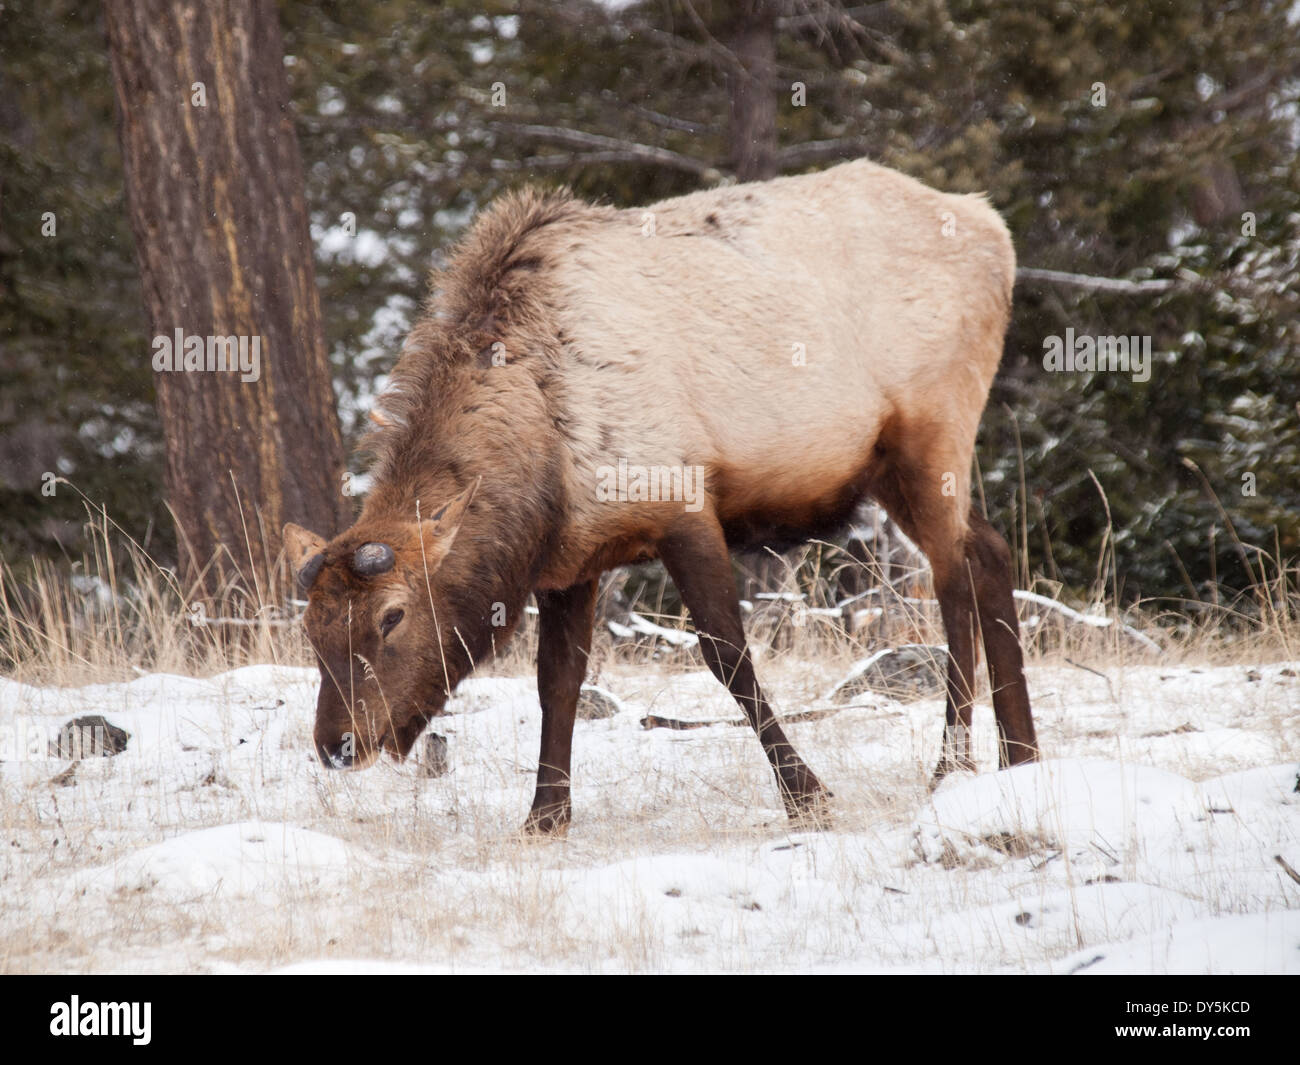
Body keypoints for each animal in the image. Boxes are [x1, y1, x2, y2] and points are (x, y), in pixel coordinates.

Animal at [284, 157, 1039, 836]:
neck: (542, 454)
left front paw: (808, 796)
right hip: (890, 466)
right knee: (978, 560)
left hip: (935, 429)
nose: (336, 744)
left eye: (393, 615)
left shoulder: (683, 504)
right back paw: (1006, 757)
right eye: (311, 628)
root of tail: (994, 227)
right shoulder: (573, 557)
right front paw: (545, 816)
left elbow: (727, 656)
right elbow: (557, 680)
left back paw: (967, 762)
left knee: (962, 572)